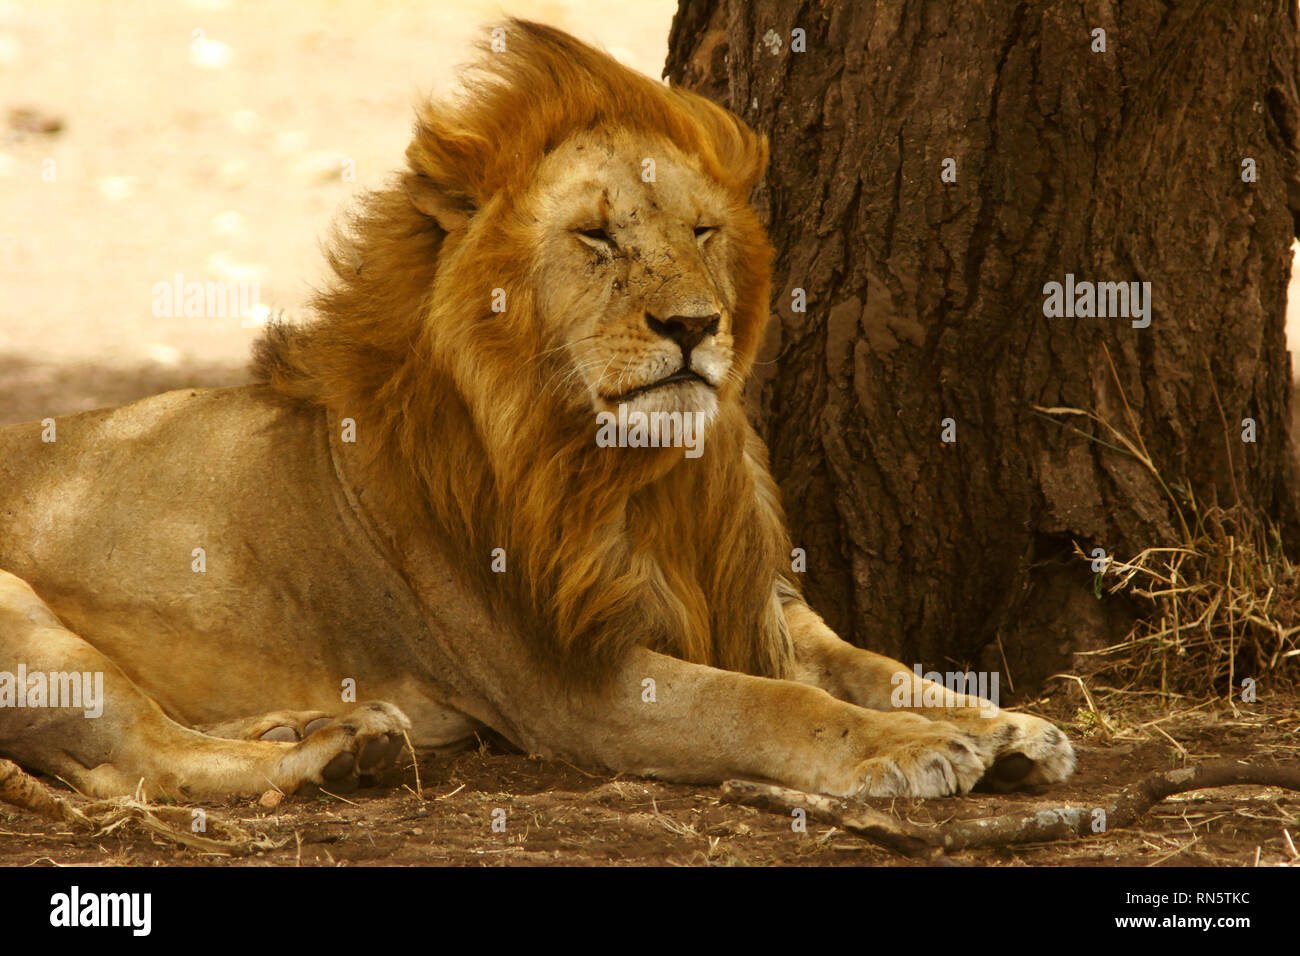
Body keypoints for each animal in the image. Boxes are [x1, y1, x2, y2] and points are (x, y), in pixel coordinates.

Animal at [0, 20, 1073, 802]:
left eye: (703, 231)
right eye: (596, 237)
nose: (694, 324)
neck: (636, 473)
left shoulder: (758, 595)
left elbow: (874, 663)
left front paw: (1004, 726)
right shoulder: (576, 682)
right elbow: (769, 704)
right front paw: (906, 749)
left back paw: (328, 726)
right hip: (33, 630)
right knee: (140, 757)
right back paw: (338, 753)